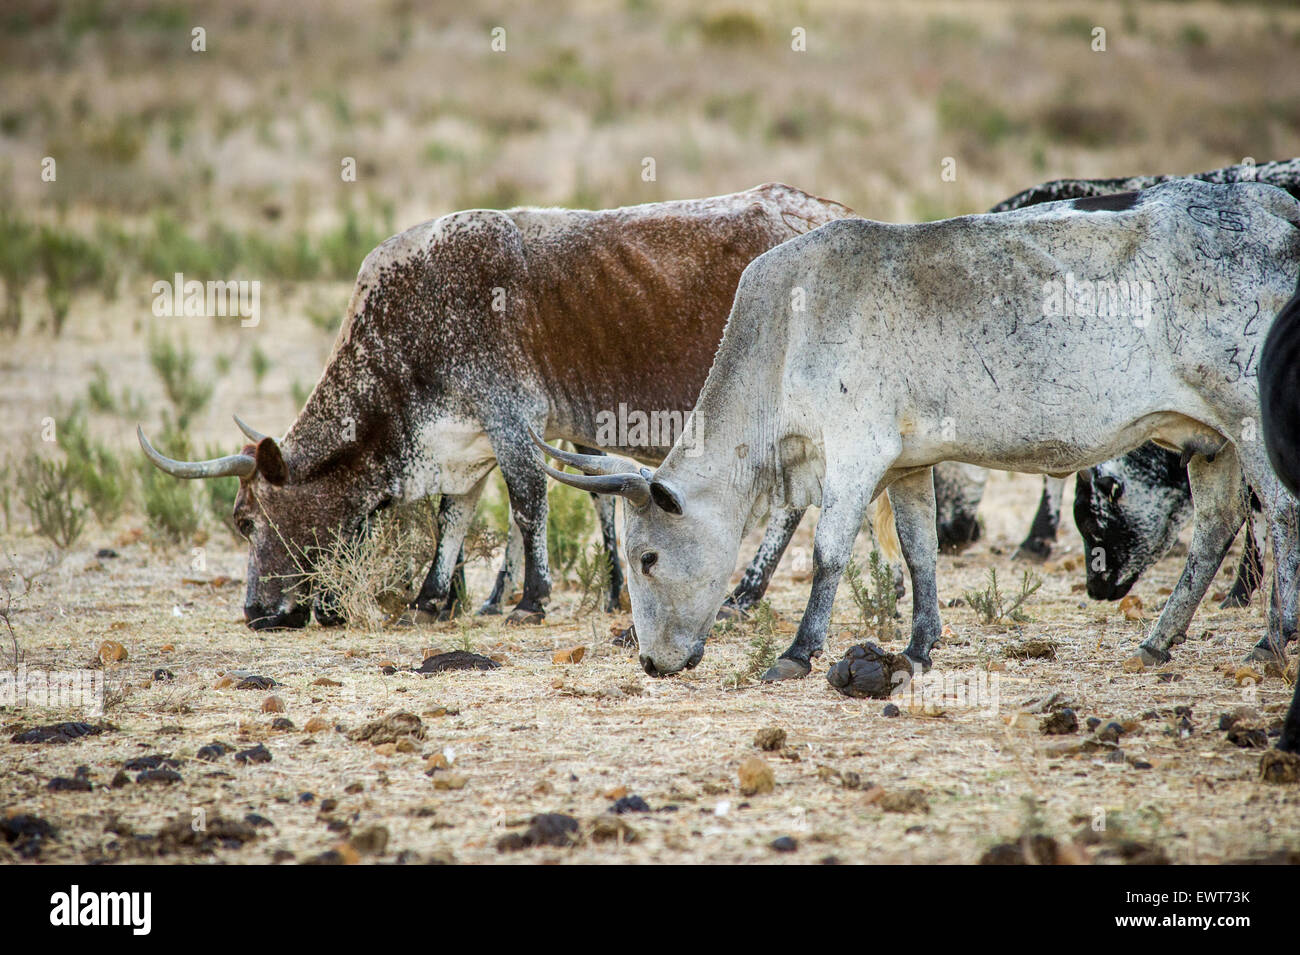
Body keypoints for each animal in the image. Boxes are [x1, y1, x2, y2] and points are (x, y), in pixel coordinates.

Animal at [138, 184, 853, 630]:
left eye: (245, 520)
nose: (254, 612)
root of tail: (829, 212)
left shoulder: (512, 420)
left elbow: (528, 503)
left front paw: (531, 599)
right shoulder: (464, 444)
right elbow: (453, 519)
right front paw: (433, 598)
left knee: (794, 505)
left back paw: (744, 593)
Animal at [536, 180, 1300, 680]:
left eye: (647, 558)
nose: (650, 661)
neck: (782, 332)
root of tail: (1278, 208)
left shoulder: (854, 452)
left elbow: (828, 552)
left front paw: (797, 651)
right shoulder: (906, 464)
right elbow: (920, 553)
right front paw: (917, 646)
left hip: (1247, 418)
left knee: (1283, 512)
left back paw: (1270, 641)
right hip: (1209, 439)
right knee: (1215, 526)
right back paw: (1158, 640)